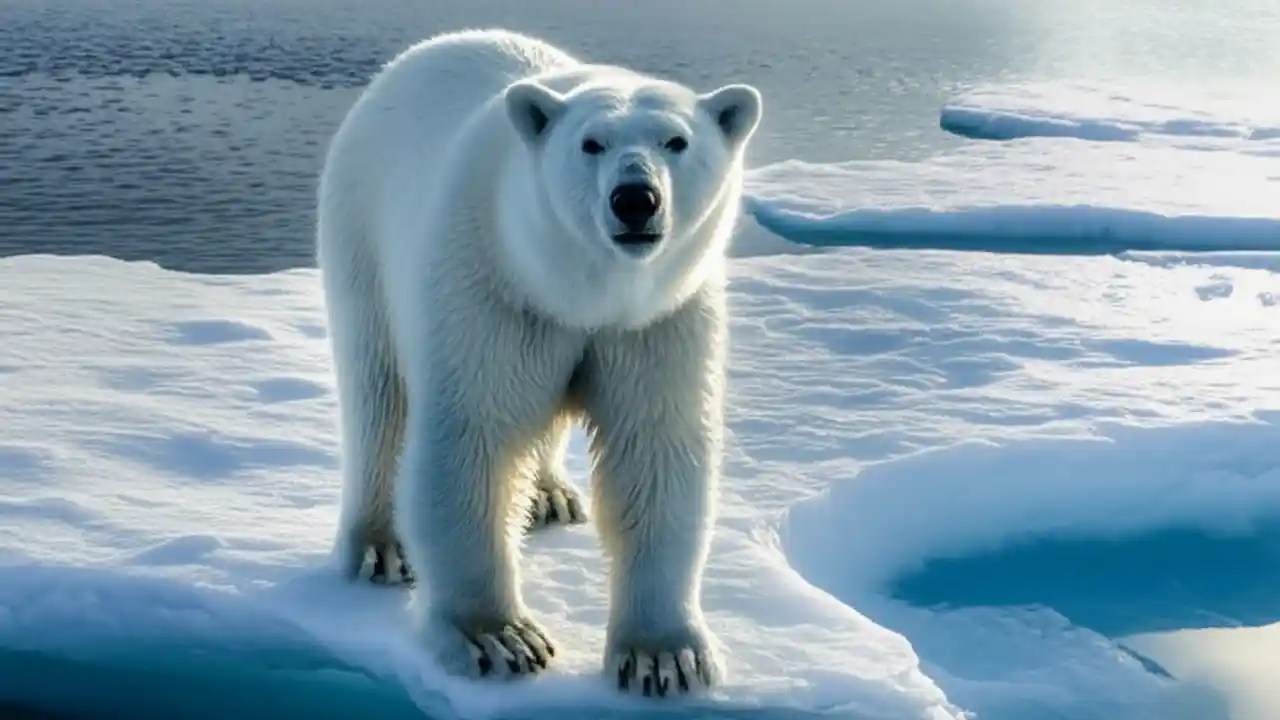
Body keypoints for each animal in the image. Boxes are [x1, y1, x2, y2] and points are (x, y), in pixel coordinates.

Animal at [316, 28, 761, 696]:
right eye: (591, 143)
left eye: (677, 141)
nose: (636, 199)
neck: (568, 285)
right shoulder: (488, 288)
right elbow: (472, 440)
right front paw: (499, 638)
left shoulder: (656, 321)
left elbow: (655, 452)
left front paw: (665, 657)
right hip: (361, 230)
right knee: (377, 393)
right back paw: (379, 547)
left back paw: (551, 496)